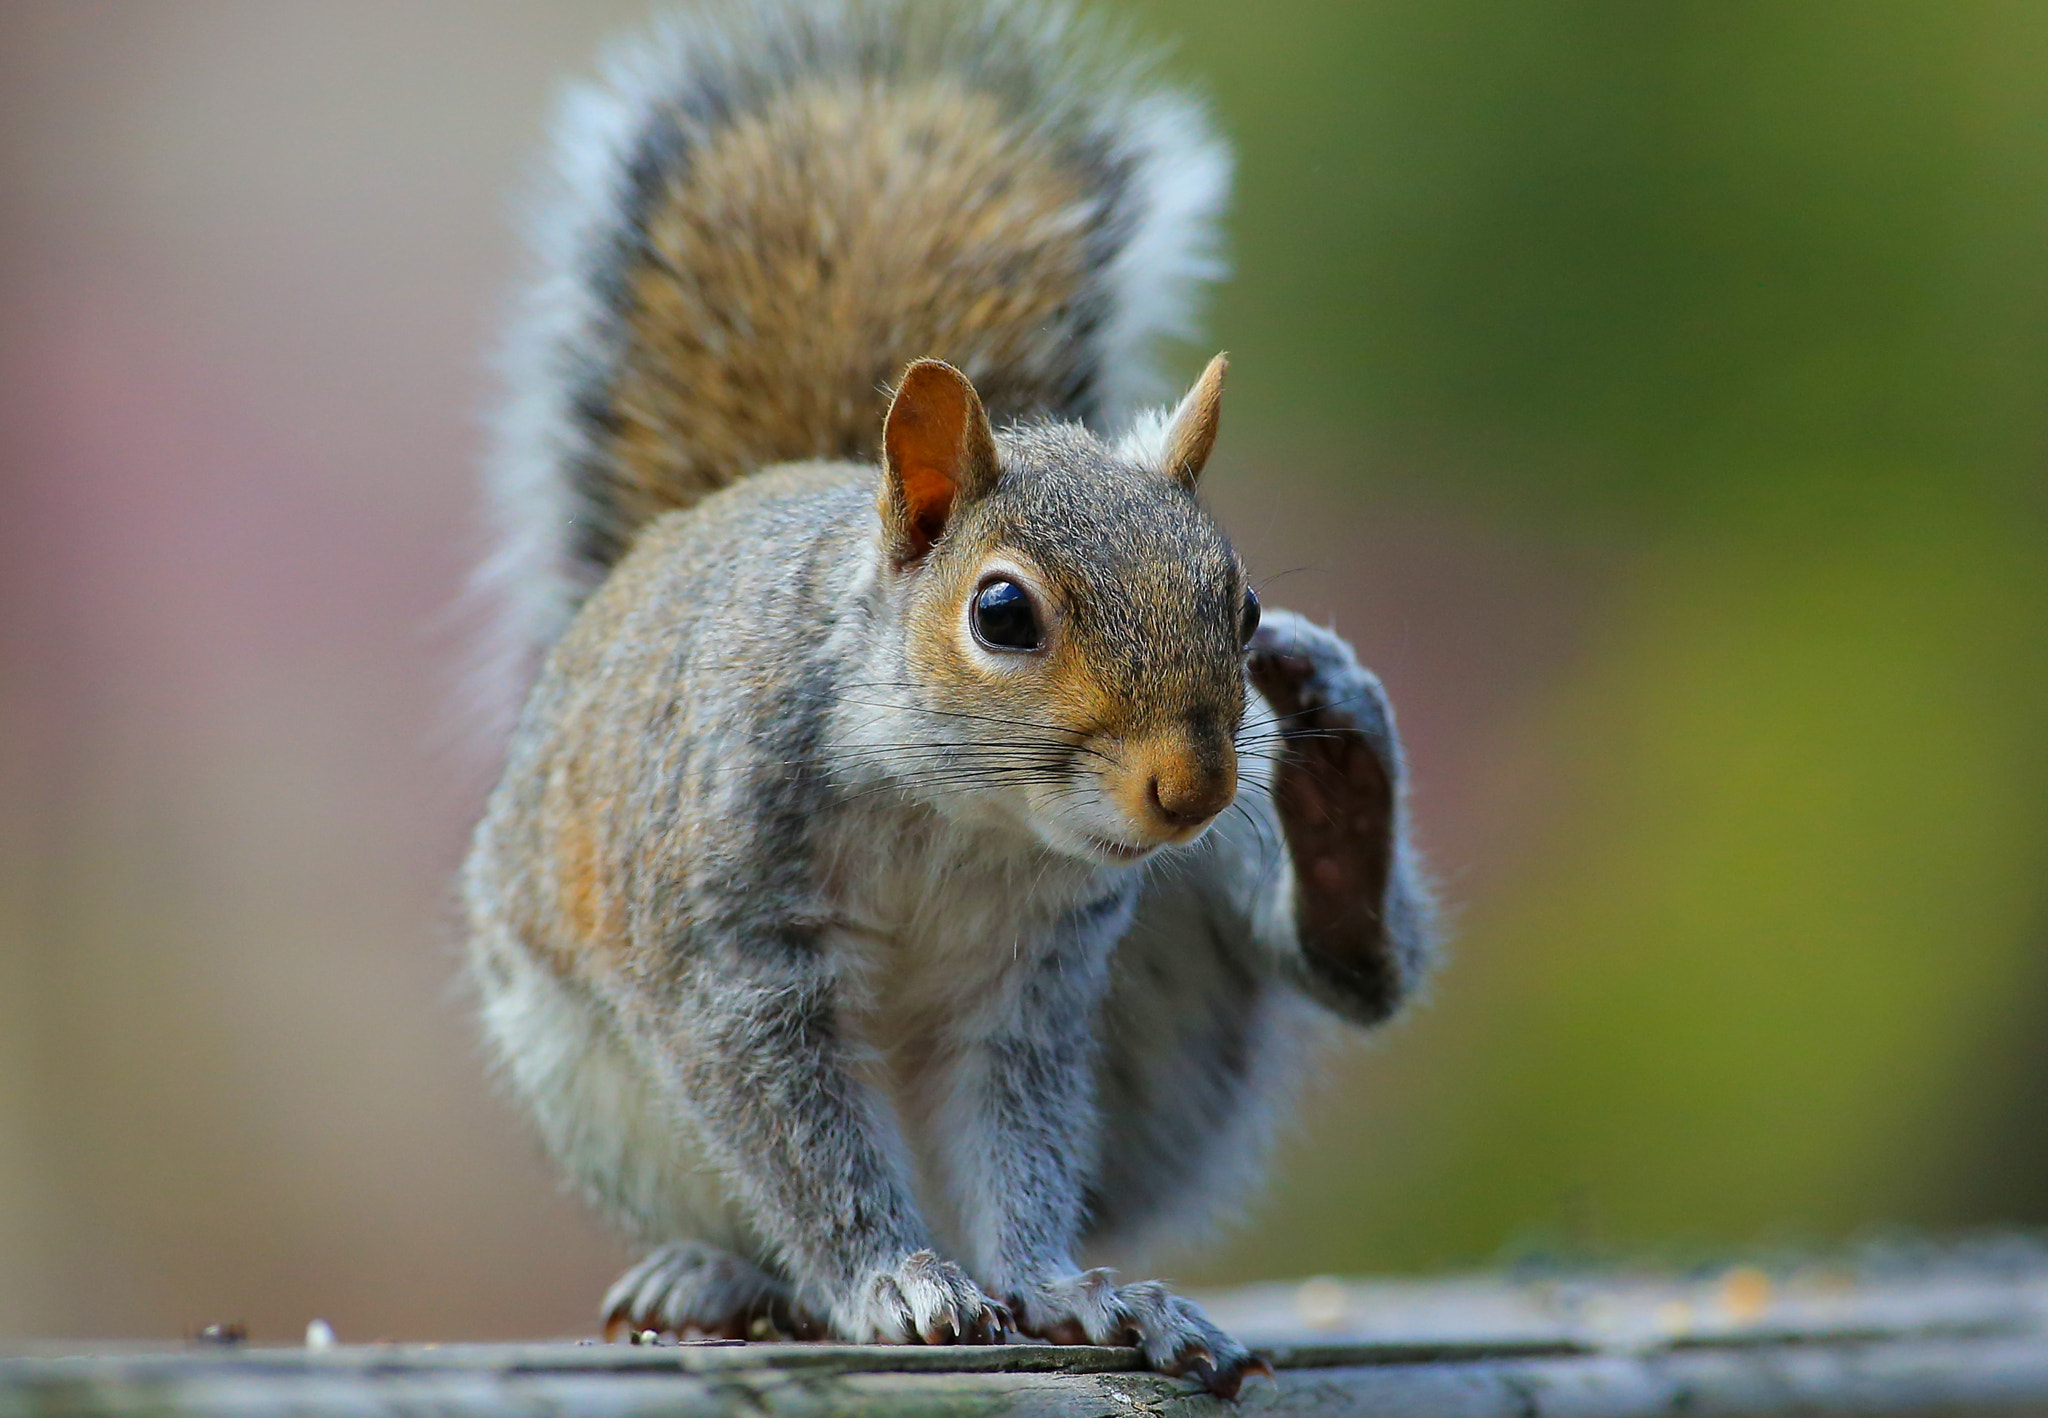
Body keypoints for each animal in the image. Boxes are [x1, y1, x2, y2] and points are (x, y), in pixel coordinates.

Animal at [462, 0, 1435, 1398]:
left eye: (1244, 608)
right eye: (1001, 615)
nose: (1193, 788)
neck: (957, 812)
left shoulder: (1029, 985)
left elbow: (1016, 1140)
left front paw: (1063, 1289)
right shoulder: (734, 950)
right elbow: (800, 1138)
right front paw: (888, 1277)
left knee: (1345, 973)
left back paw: (1343, 797)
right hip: (596, 1082)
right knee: (742, 1210)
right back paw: (720, 1277)